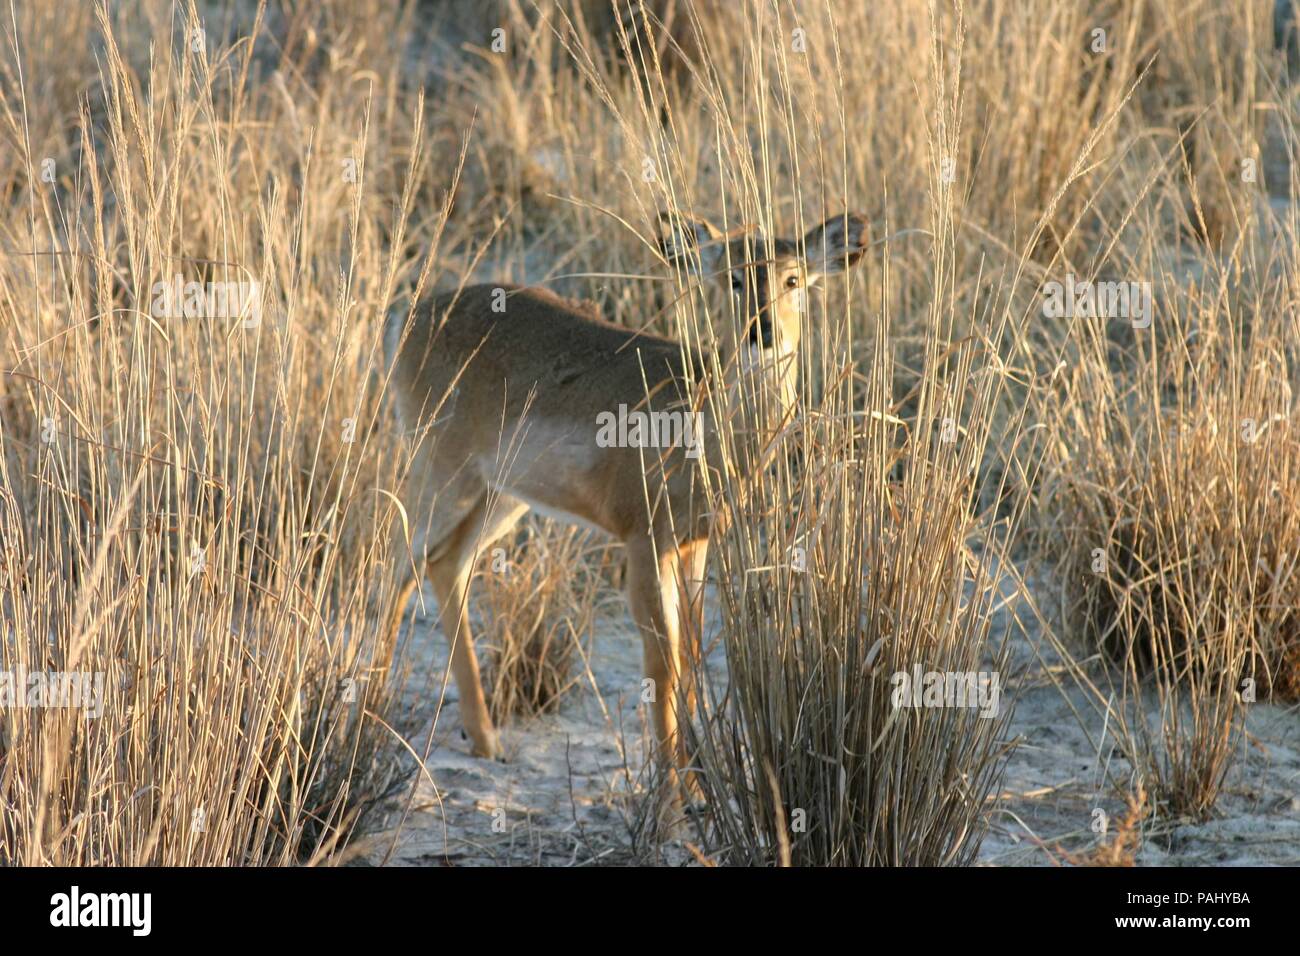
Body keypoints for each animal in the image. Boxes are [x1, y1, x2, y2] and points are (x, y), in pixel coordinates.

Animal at [382, 209, 870, 802]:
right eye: (732, 277)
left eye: (794, 278)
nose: (764, 331)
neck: (700, 425)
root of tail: (411, 317)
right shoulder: (643, 537)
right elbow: (662, 664)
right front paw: (671, 804)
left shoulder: (695, 541)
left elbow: (690, 652)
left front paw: (697, 788)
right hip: (441, 467)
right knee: (396, 559)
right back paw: (371, 715)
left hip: (500, 493)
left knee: (445, 565)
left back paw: (486, 741)